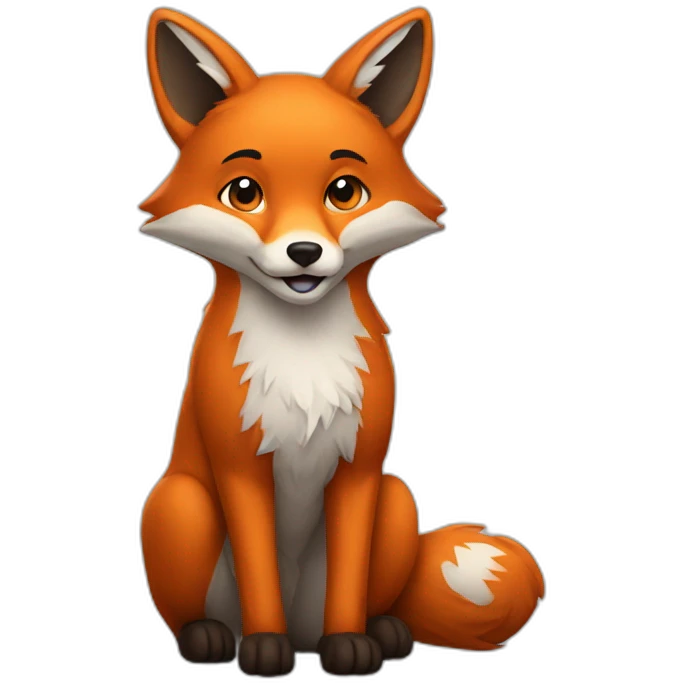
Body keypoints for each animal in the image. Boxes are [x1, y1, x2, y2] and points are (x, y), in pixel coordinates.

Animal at [138, 6, 545, 677]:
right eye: (244, 193)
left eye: (344, 191)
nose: (304, 251)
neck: (302, 360)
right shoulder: (240, 469)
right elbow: (258, 572)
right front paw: (264, 647)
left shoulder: (359, 473)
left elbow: (350, 578)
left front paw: (350, 645)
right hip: (181, 506)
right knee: (194, 612)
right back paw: (211, 637)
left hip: (397, 500)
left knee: (380, 595)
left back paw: (382, 632)